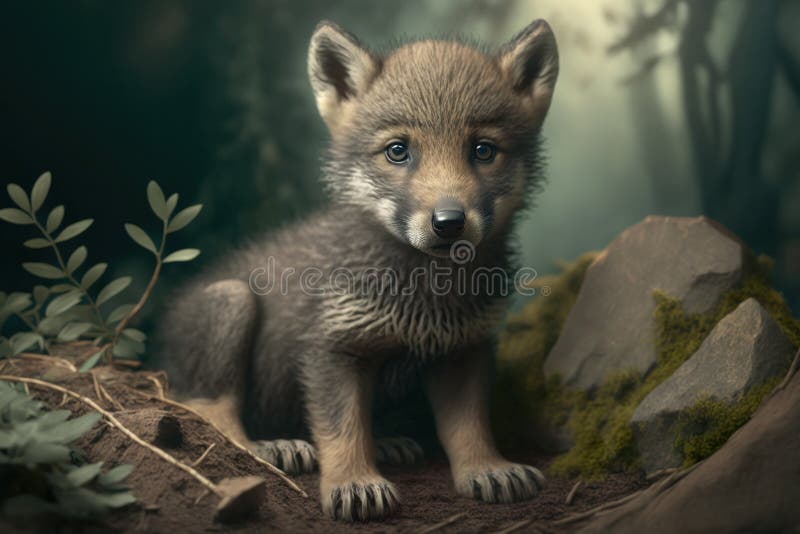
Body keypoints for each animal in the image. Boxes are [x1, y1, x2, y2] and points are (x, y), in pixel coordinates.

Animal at [158, 18, 559, 521]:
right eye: (398, 151)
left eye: (483, 150)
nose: (449, 223)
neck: (426, 294)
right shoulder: (332, 349)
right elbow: (341, 429)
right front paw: (354, 483)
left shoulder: (461, 350)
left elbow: (468, 427)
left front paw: (487, 469)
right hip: (233, 301)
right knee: (207, 410)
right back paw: (271, 448)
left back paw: (382, 441)